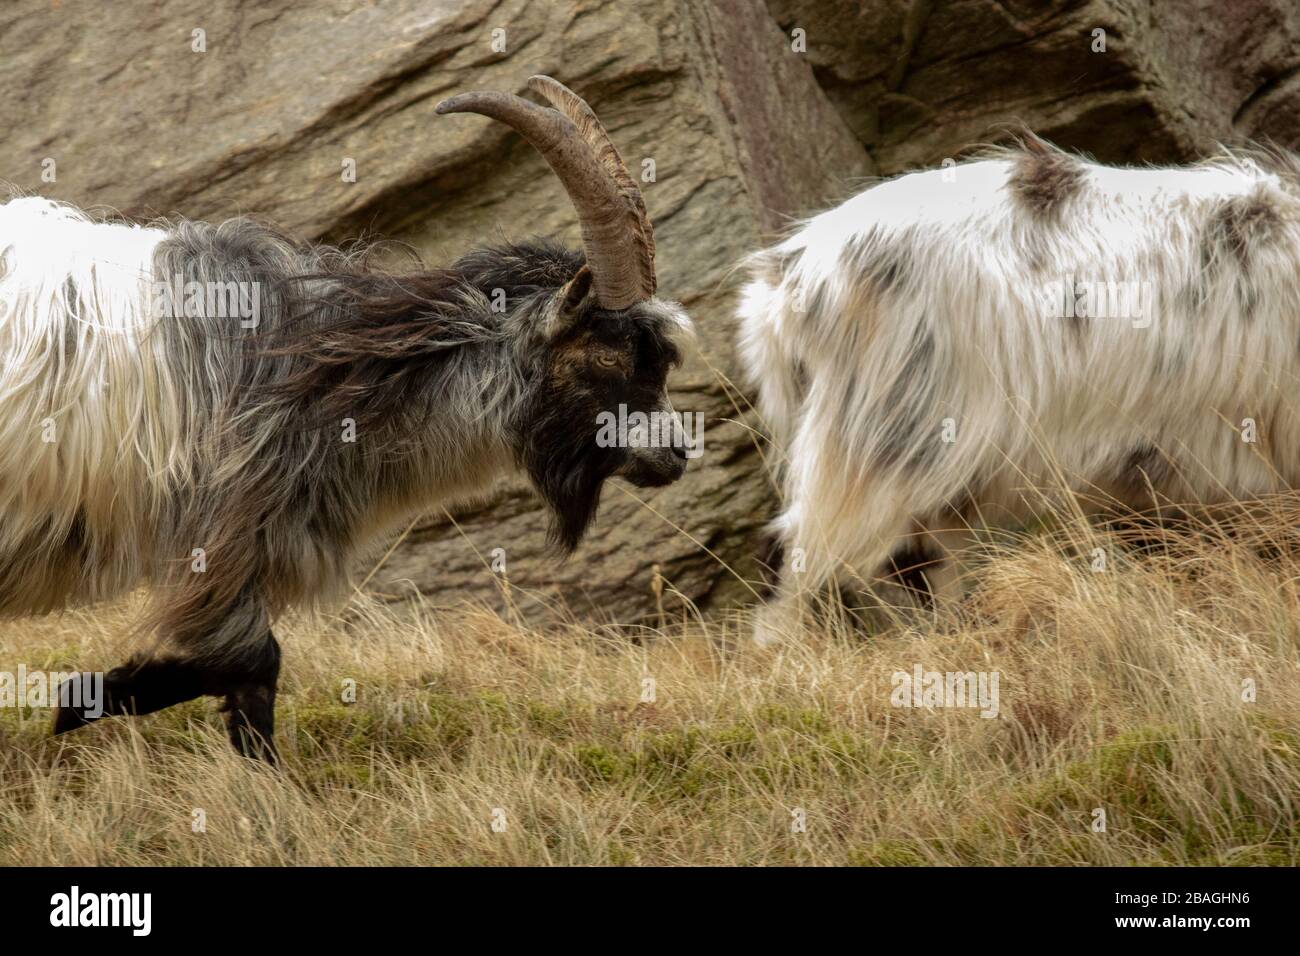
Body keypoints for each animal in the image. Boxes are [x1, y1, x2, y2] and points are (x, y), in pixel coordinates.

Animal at [0, 76, 693, 760]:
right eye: (607, 355)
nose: (677, 453)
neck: (324, 369)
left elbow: (244, 673)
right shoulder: (221, 531)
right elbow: (254, 664)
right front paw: (84, 702)